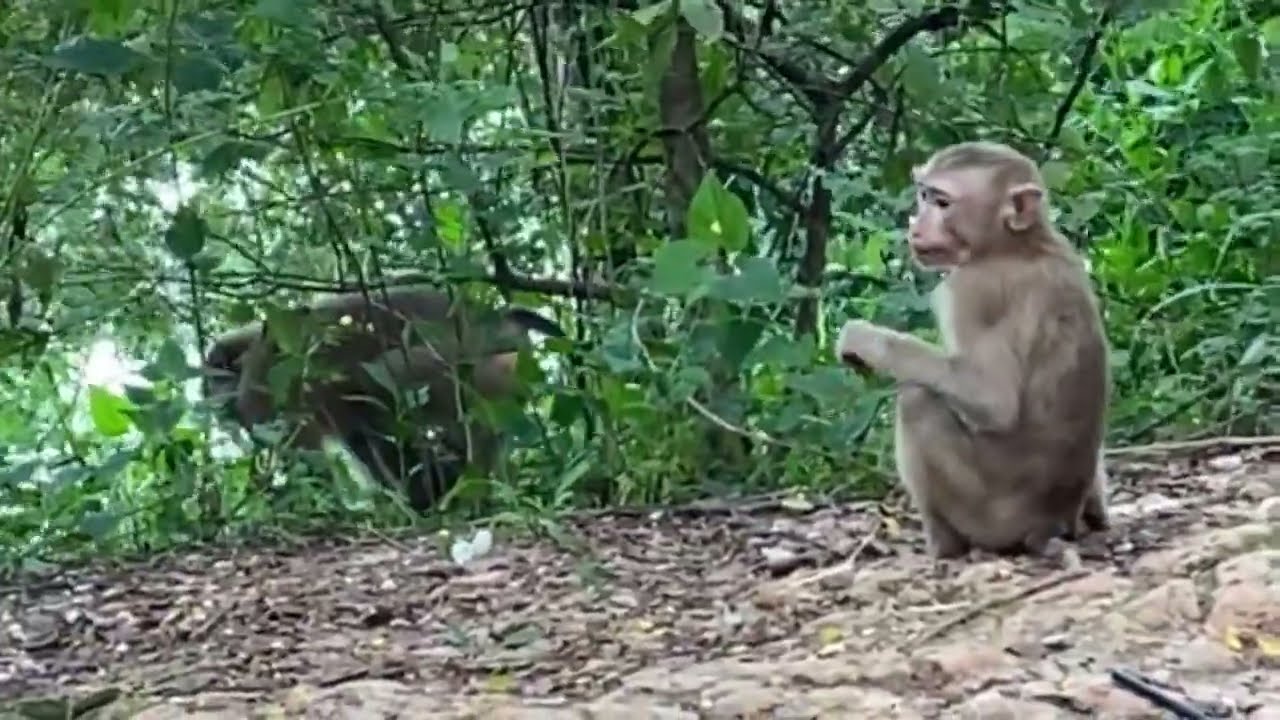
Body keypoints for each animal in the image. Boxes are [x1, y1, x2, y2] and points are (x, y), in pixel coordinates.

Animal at [200, 286, 565, 510]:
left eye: (219, 376)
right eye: (211, 381)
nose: (215, 396)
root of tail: (498, 320)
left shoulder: (260, 388)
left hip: (471, 364)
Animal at [834, 141, 1110, 559]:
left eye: (943, 203)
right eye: (924, 195)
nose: (916, 225)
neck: (1022, 244)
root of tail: (1051, 522)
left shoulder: (968, 289)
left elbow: (992, 400)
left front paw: (867, 342)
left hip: (989, 514)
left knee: (917, 401)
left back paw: (943, 544)